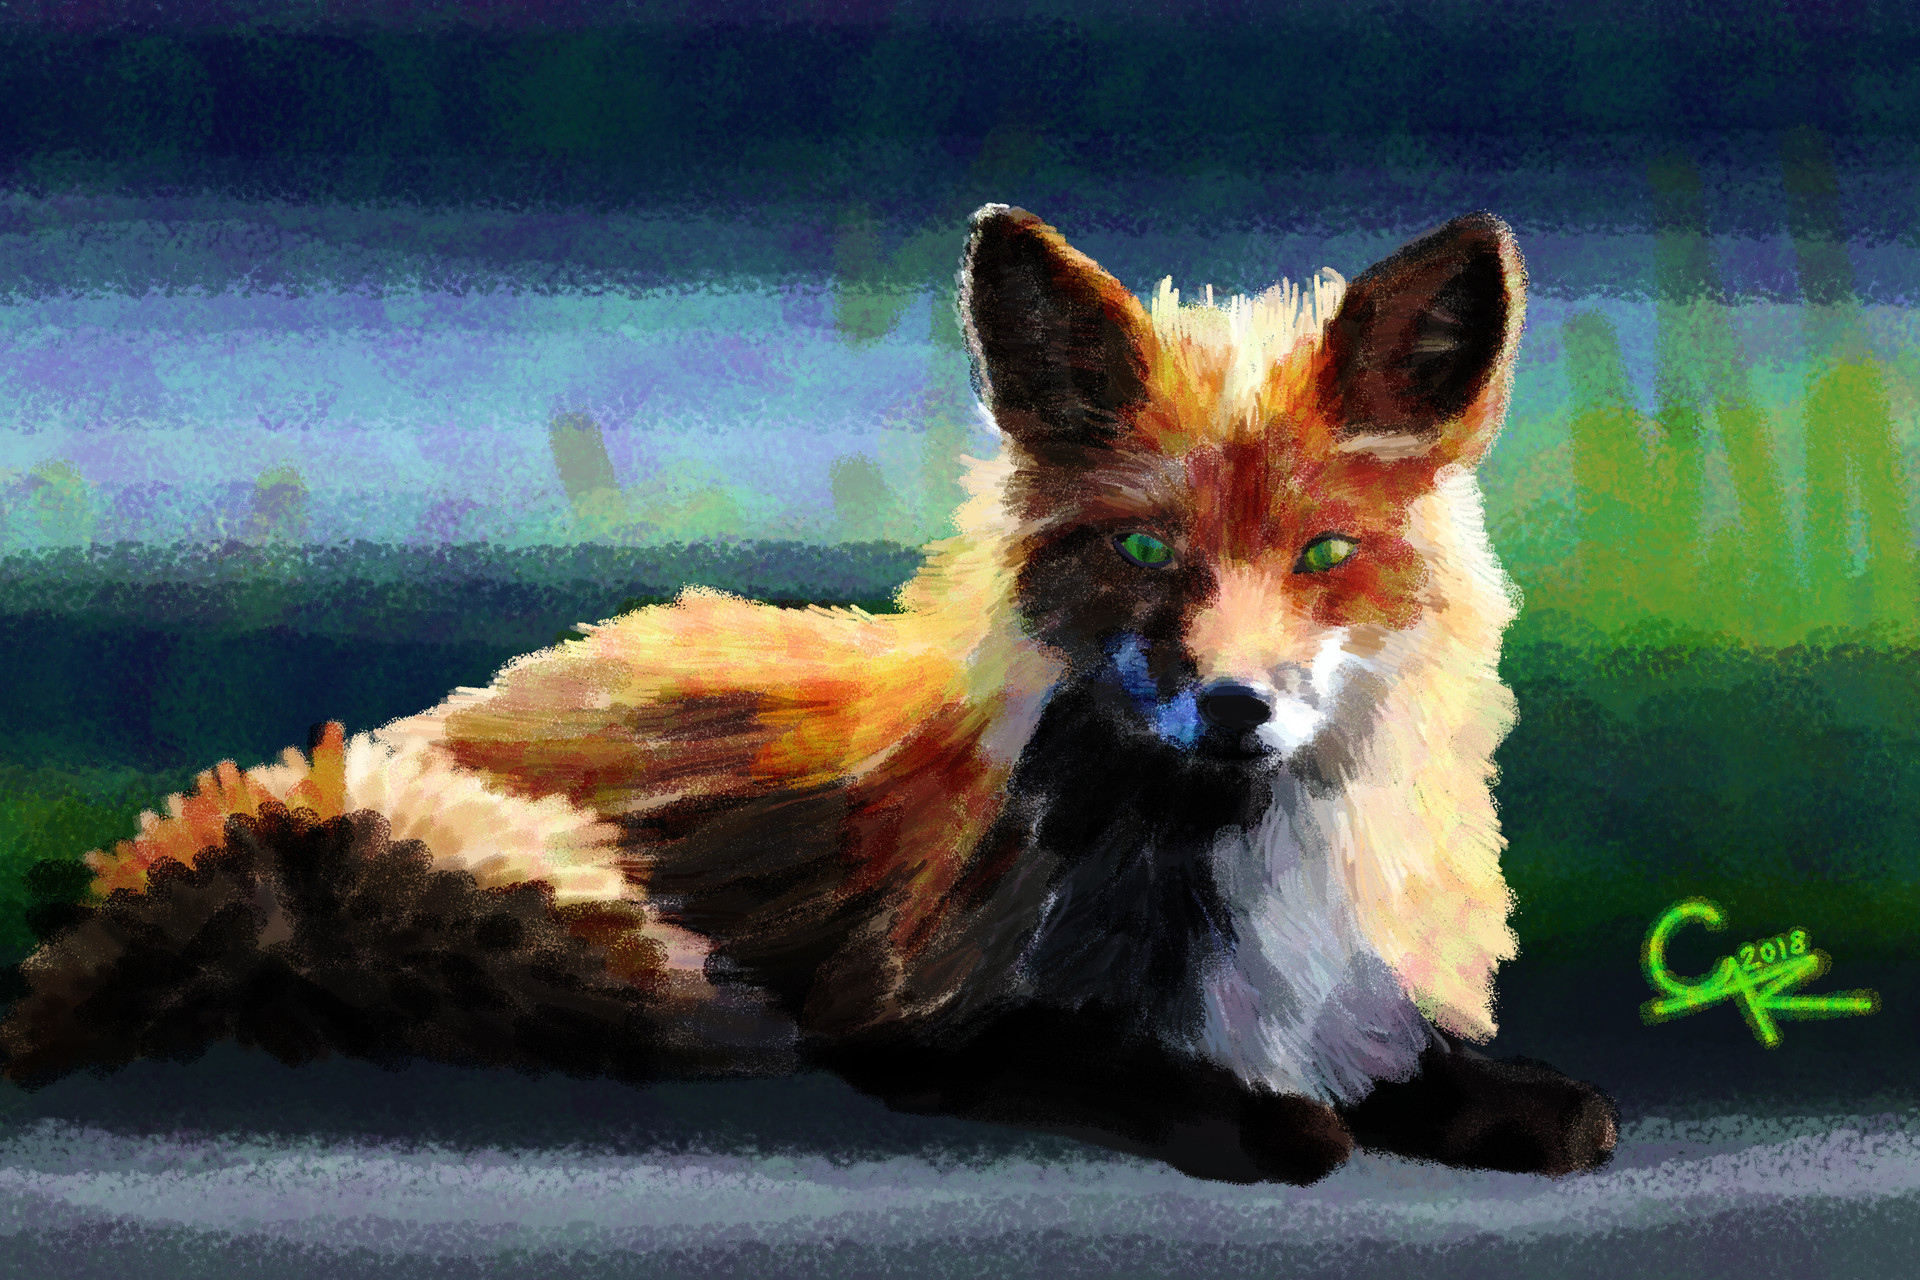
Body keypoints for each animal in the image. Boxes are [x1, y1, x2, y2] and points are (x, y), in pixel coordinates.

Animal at [2, 206, 1617, 1185]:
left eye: (1324, 554)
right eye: (1149, 549)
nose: (1233, 706)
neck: (1243, 877)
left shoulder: (1356, 996)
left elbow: (1444, 1071)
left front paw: (1517, 1101)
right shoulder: (915, 1020)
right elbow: (1139, 1068)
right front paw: (1274, 1119)